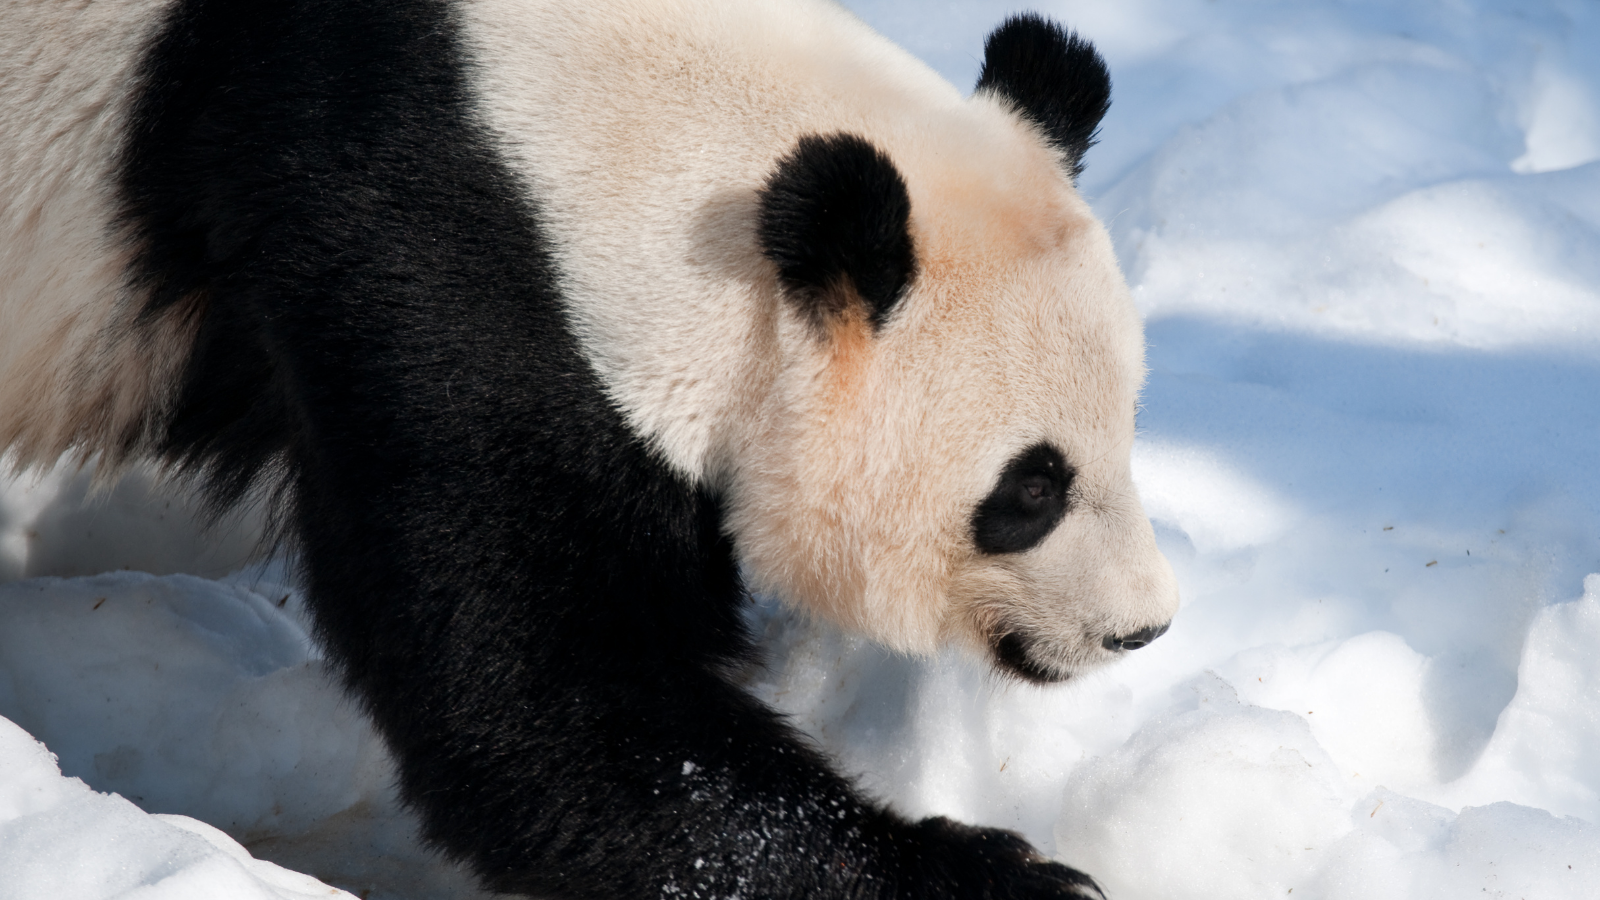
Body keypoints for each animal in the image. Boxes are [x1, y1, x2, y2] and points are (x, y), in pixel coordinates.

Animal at [0, 0, 1179, 897]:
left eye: (1129, 421)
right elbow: (544, 693)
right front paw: (996, 876)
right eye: (1029, 489)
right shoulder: (429, 257)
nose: (1141, 629)